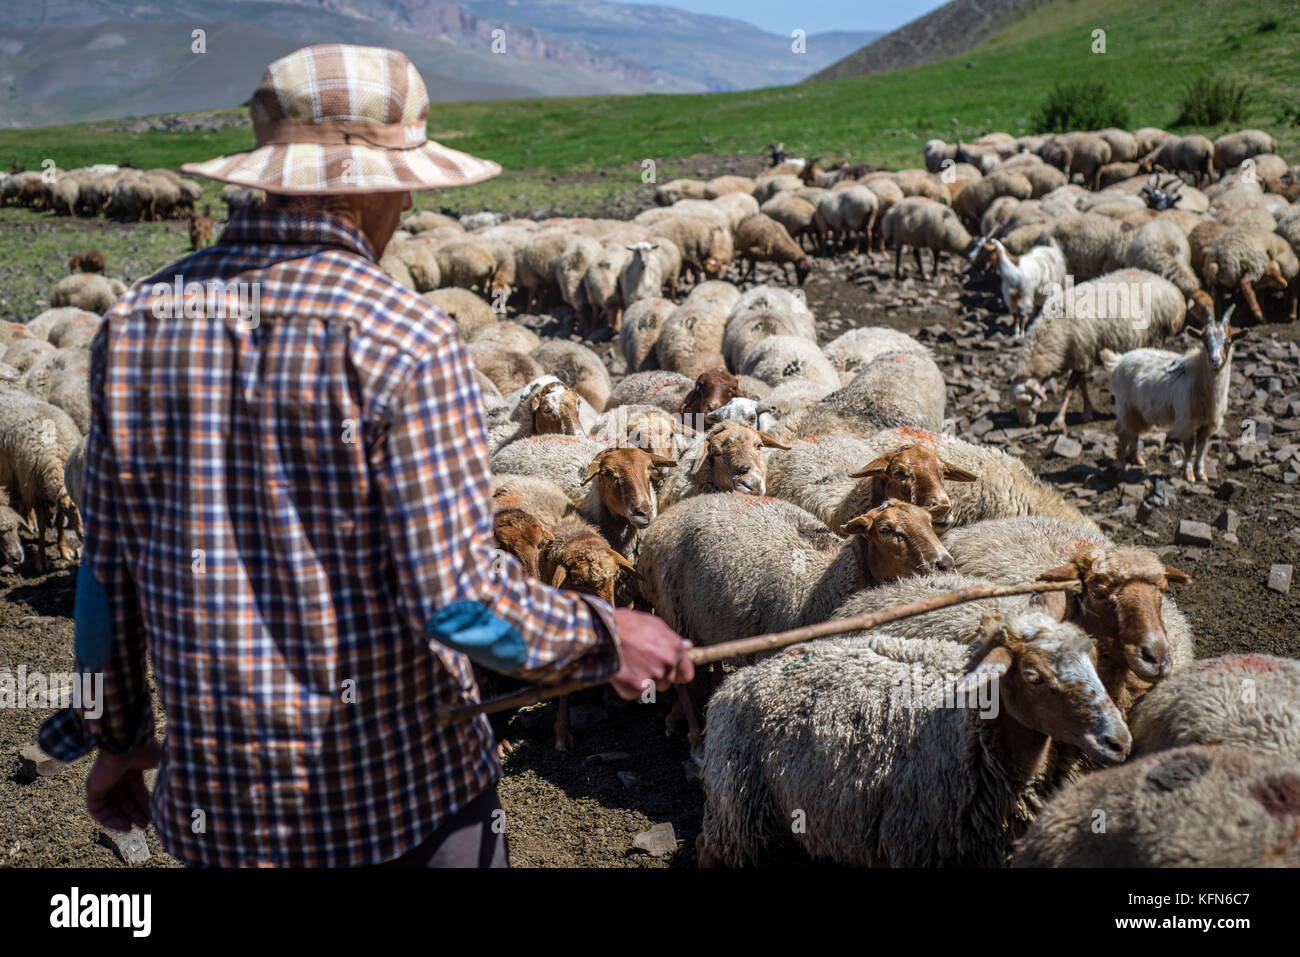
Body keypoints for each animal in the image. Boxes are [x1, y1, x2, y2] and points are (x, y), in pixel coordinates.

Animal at [0, 392, 83, 569]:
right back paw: (31, 523)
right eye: (71, 510)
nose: (84, 534)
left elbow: (59, 522)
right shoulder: (35, 493)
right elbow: (44, 526)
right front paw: (41, 559)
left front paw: (64, 549)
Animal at [637, 495, 953, 647]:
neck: (824, 583)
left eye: (929, 521)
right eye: (886, 530)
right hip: (672, 613)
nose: (944, 563)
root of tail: (673, 509)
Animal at [698, 609, 1129, 867]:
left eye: (1092, 659)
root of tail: (739, 680)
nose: (1119, 741)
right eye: (1035, 677)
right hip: (738, 806)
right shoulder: (914, 843)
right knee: (713, 850)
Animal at [1010, 269, 1186, 431]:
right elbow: (1081, 385)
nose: (1025, 424)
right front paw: (1087, 412)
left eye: (1030, 402)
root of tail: (1173, 289)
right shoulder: (1080, 355)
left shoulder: (1083, 351)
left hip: (1157, 334)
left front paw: (1058, 421)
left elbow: (1068, 390)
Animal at [1103, 298, 1243, 483]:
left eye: (1227, 342)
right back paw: (1120, 467)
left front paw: (1202, 474)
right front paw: (1189, 474)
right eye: (1205, 342)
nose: (1215, 360)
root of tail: (1118, 361)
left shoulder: (1208, 422)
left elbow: (1202, 447)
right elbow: (1190, 446)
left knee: (1133, 431)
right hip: (1125, 406)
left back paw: (1138, 459)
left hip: (1139, 410)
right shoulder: (1186, 420)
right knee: (1123, 432)